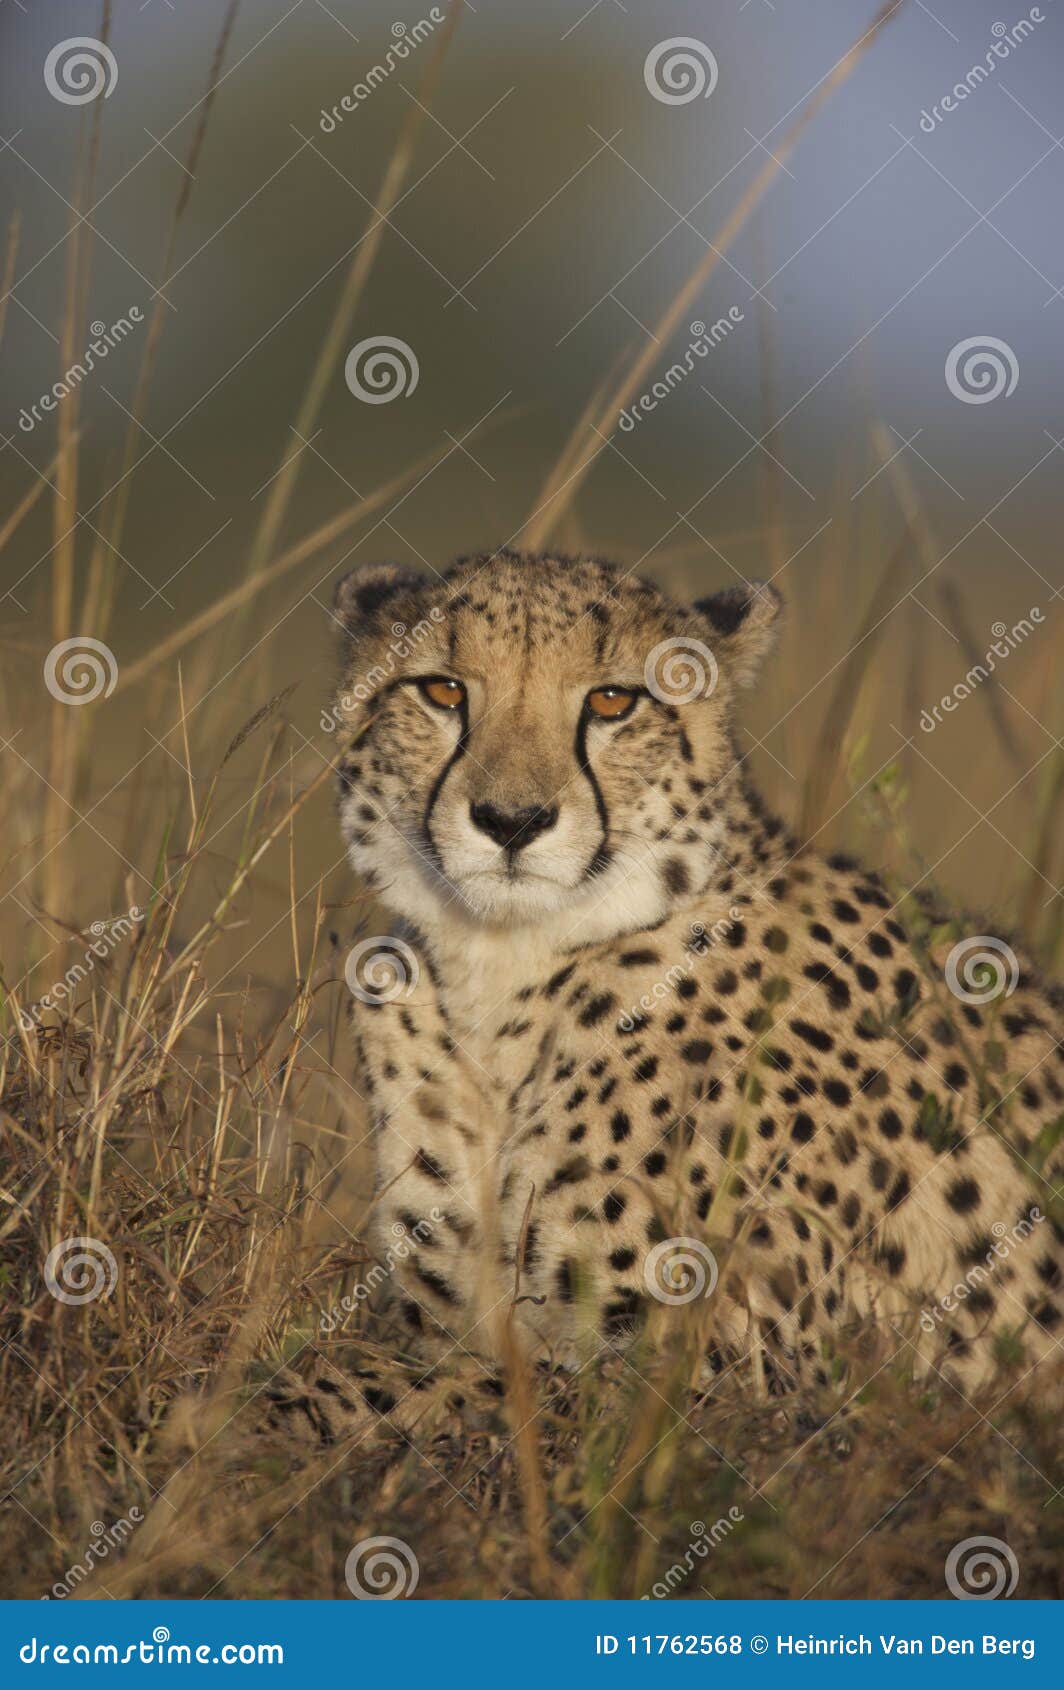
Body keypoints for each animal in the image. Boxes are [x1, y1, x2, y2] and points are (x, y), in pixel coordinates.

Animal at [268, 549, 1063, 1446]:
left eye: (614, 701)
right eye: (441, 691)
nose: (512, 820)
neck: (503, 977)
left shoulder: (741, 1367)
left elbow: (482, 1387)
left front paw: (264, 1409)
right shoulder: (449, 1314)